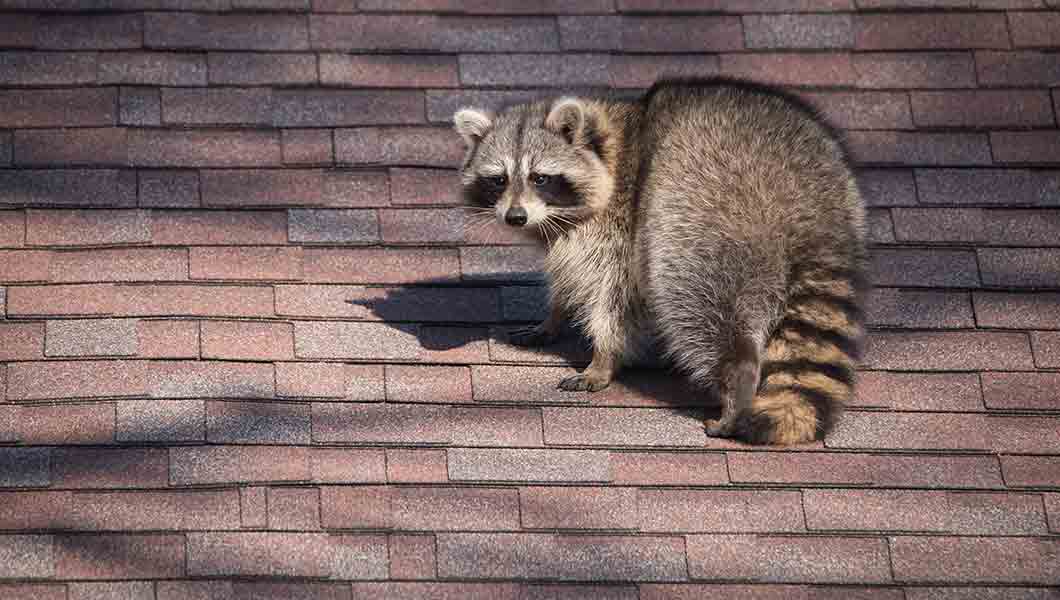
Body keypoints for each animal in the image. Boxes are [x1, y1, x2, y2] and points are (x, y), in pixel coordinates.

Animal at [453, 78, 868, 445]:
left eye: (540, 178)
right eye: (499, 179)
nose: (515, 217)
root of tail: (807, 200)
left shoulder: (619, 224)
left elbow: (613, 294)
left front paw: (603, 357)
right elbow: (568, 276)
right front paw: (555, 316)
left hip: (703, 209)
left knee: (693, 297)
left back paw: (737, 380)